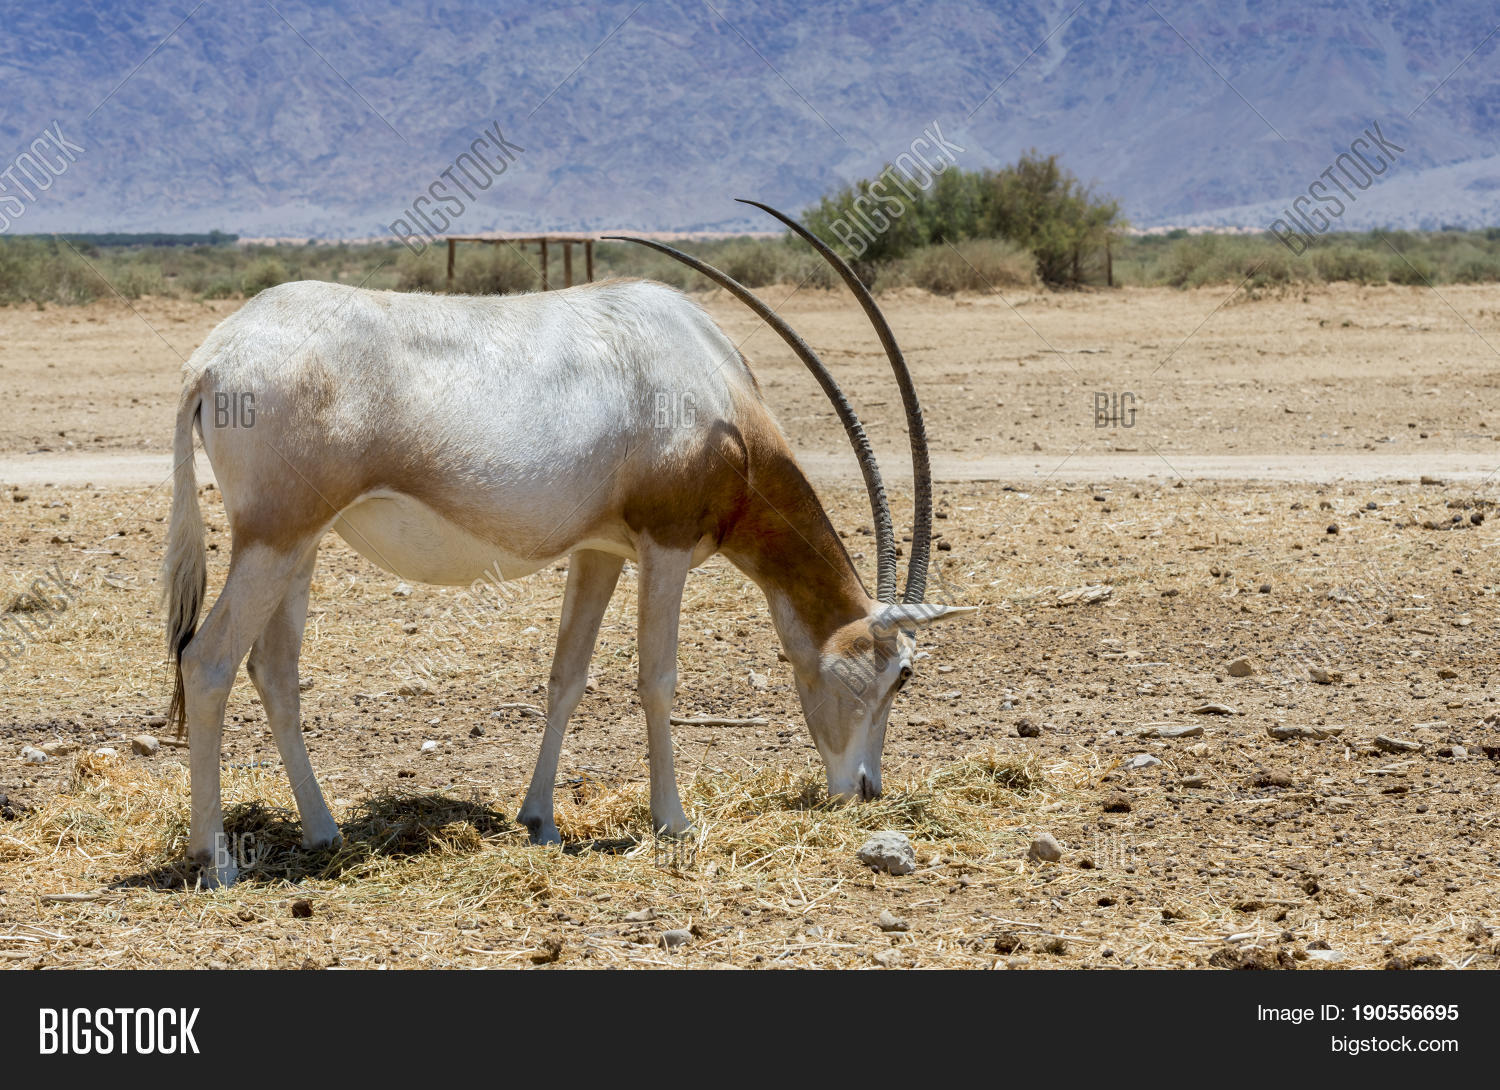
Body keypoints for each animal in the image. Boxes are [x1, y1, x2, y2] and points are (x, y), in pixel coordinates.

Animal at [162, 201, 973, 887]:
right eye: (900, 675)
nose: (864, 790)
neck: (711, 383)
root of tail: (211, 359)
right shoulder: (665, 546)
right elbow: (656, 678)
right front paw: (673, 822)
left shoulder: (601, 551)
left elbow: (567, 677)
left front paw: (541, 821)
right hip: (274, 540)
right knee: (207, 662)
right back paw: (216, 860)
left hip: (298, 546)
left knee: (273, 669)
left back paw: (323, 831)